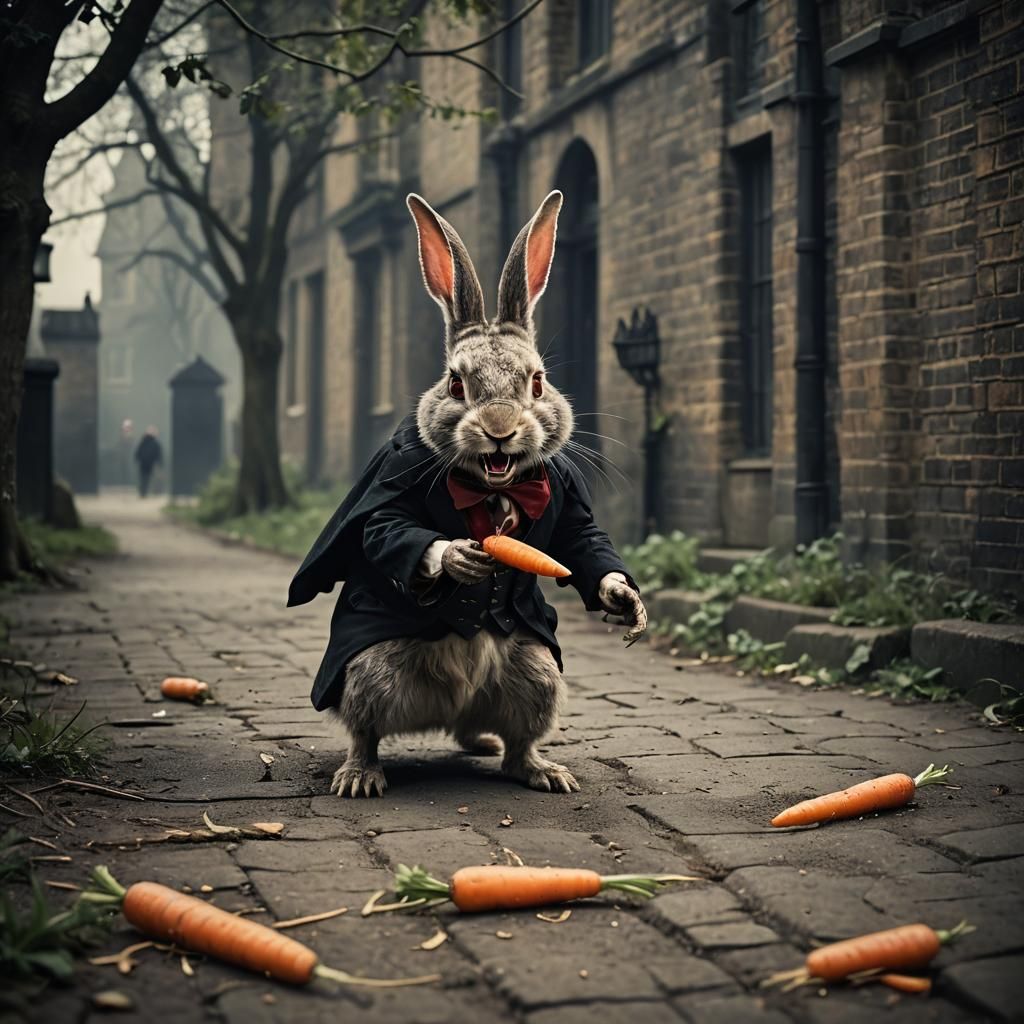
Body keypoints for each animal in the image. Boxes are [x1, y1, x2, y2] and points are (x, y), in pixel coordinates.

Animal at [288, 190, 647, 798]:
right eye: (457, 383)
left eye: (537, 382)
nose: (500, 428)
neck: (491, 487)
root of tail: (448, 712)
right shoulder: (396, 486)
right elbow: (389, 528)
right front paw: (457, 556)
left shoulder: (567, 508)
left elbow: (584, 544)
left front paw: (623, 598)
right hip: (369, 675)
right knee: (364, 730)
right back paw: (360, 777)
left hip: (538, 675)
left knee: (515, 742)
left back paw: (540, 770)